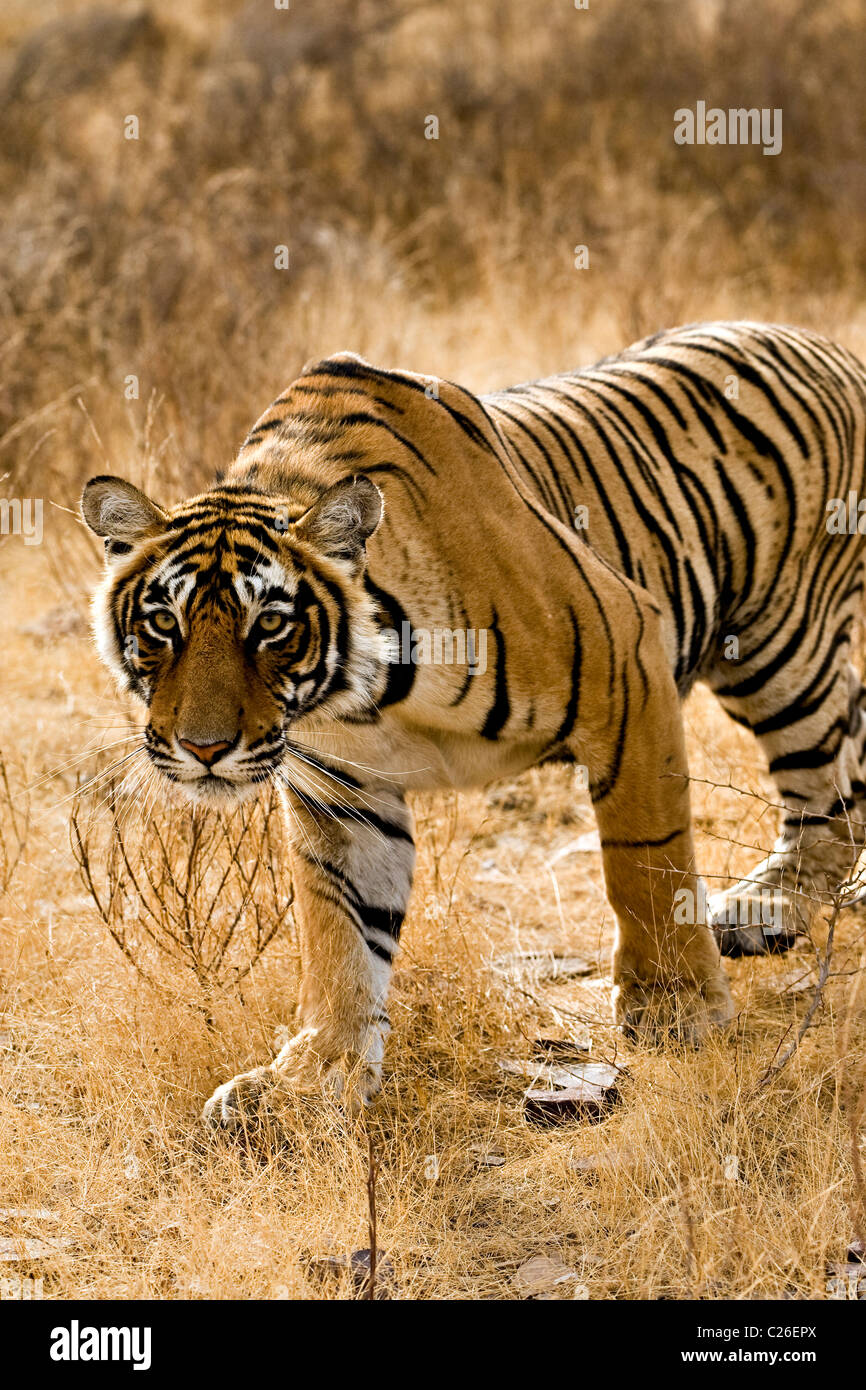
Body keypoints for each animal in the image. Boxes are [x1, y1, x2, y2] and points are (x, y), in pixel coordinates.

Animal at [81, 321, 866, 1128]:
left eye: (269, 625)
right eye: (163, 624)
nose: (202, 748)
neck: (360, 693)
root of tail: (822, 342)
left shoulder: (628, 657)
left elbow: (644, 860)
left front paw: (676, 1008)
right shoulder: (341, 786)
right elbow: (338, 931)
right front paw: (313, 1078)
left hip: (783, 652)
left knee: (829, 793)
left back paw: (764, 908)